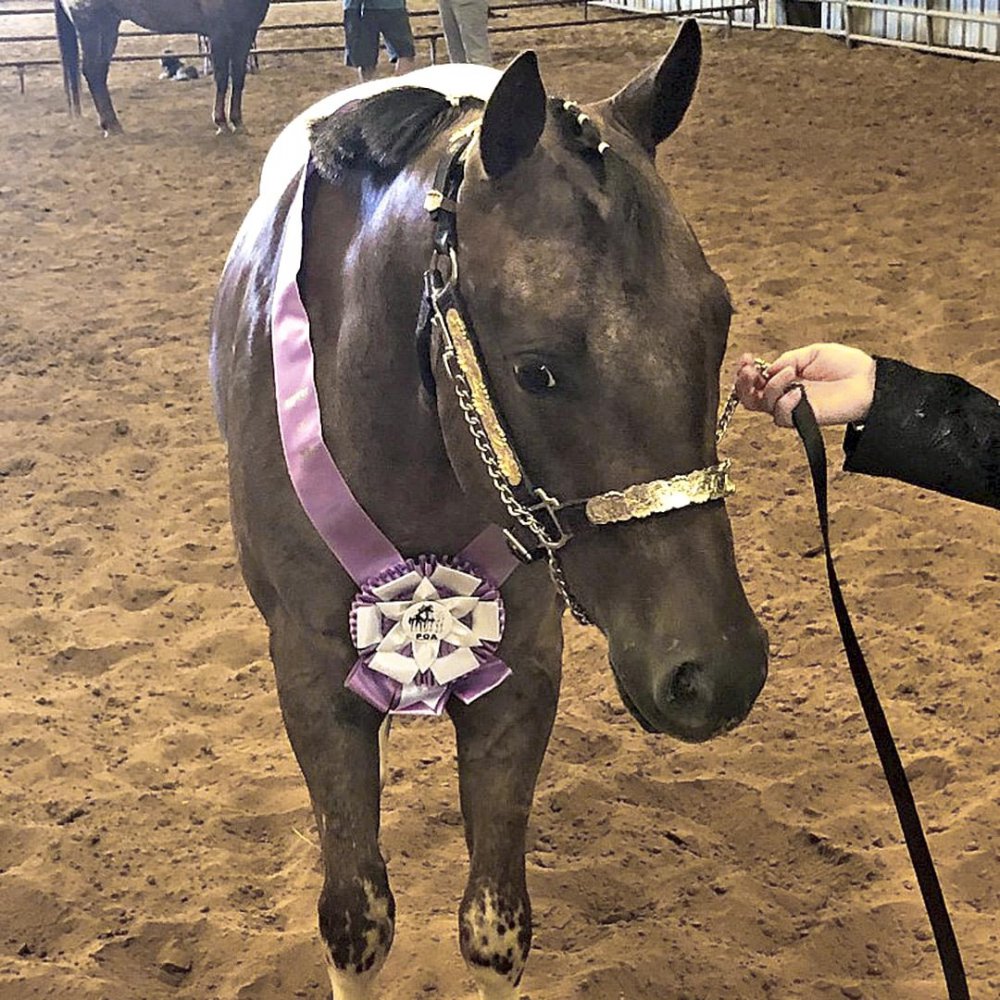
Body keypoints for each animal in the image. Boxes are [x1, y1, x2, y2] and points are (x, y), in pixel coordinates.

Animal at [54, 0, 270, 134]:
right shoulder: (219, 34)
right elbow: (223, 79)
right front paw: (221, 123)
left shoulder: (246, 32)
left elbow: (239, 79)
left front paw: (237, 122)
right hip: (92, 26)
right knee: (92, 71)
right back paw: (112, 126)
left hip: (108, 26)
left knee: (98, 72)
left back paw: (112, 125)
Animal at [210, 22, 769, 999]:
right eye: (536, 369)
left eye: (719, 323)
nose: (718, 673)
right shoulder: (314, 686)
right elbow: (355, 919)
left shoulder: (521, 676)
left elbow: (495, 925)